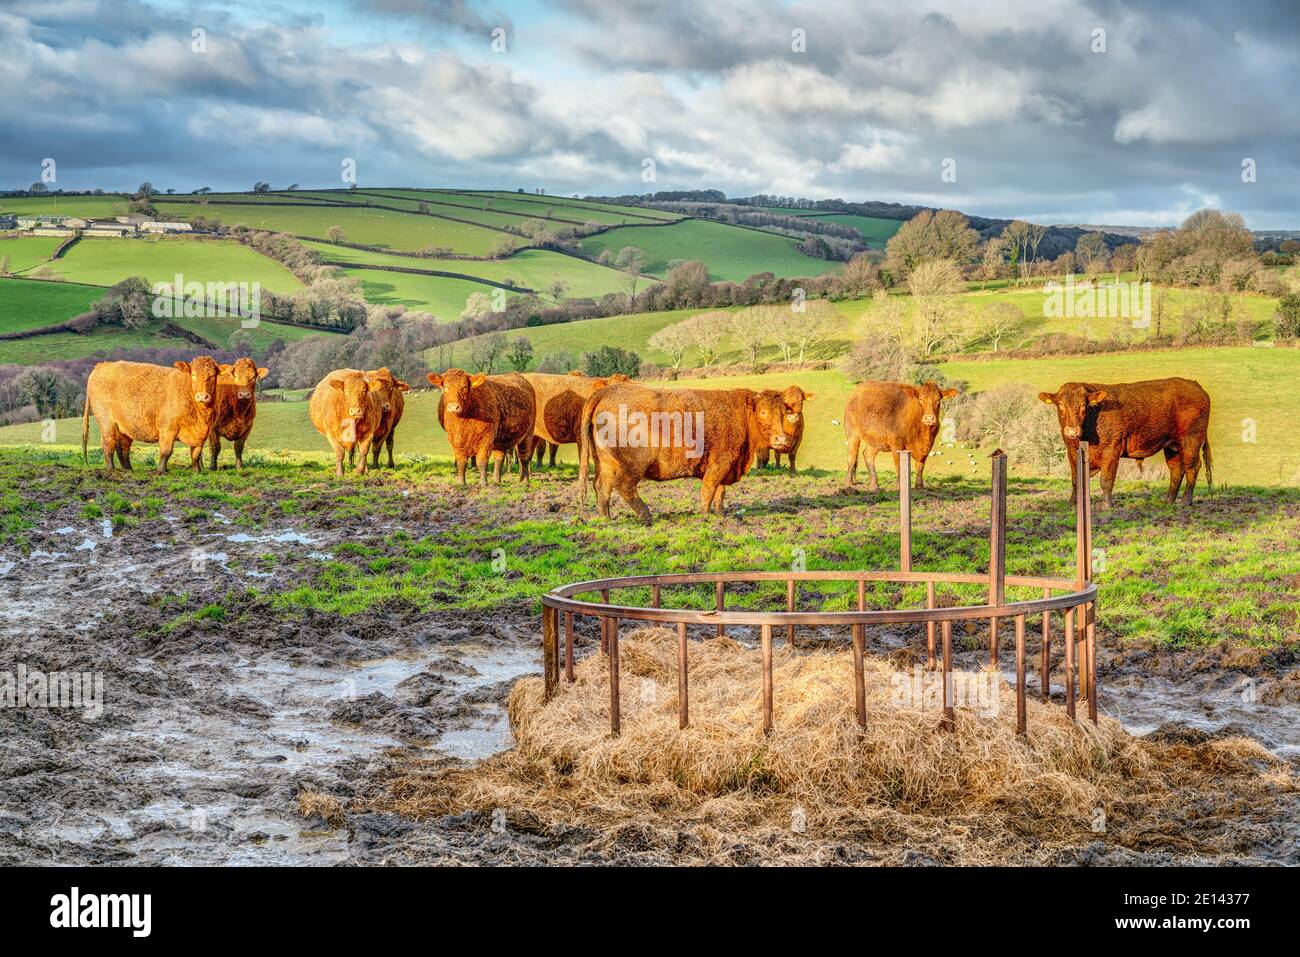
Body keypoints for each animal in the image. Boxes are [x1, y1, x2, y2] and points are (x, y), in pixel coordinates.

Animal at [82, 357, 220, 473]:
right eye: (193, 374)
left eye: (212, 375)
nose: (202, 396)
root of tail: (102, 365)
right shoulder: (167, 429)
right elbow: (166, 451)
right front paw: (161, 471)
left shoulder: (200, 435)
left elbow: (196, 454)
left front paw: (197, 472)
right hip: (107, 423)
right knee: (108, 445)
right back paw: (111, 470)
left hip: (125, 427)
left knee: (122, 448)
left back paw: (128, 470)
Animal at [577, 383, 799, 524]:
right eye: (763, 412)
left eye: (784, 413)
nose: (782, 440)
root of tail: (608, 391)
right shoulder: (720, 463)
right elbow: (709, 489)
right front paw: (705, 516)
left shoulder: (726, 467)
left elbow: (720, 492)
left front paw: (720, 514)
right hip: (633, 465)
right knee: (624, 486)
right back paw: (646, 515)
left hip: (605, 462)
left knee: (602, 486)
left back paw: (607, 518)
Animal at [1038, 378, 1212, 506]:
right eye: (1061, 405)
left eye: (1083, 405)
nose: (1072, 431)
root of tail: (1196, 386)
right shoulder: (1072, 454)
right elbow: (1076, 480)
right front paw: (1073, 503)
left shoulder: (1111, 451)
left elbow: (1106, 480)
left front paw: (1106, 505)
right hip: (1172, 446)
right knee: (1176, 470)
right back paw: (1168, 500)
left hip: (1191, 440)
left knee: (1192, 467)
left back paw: (1185, 501)